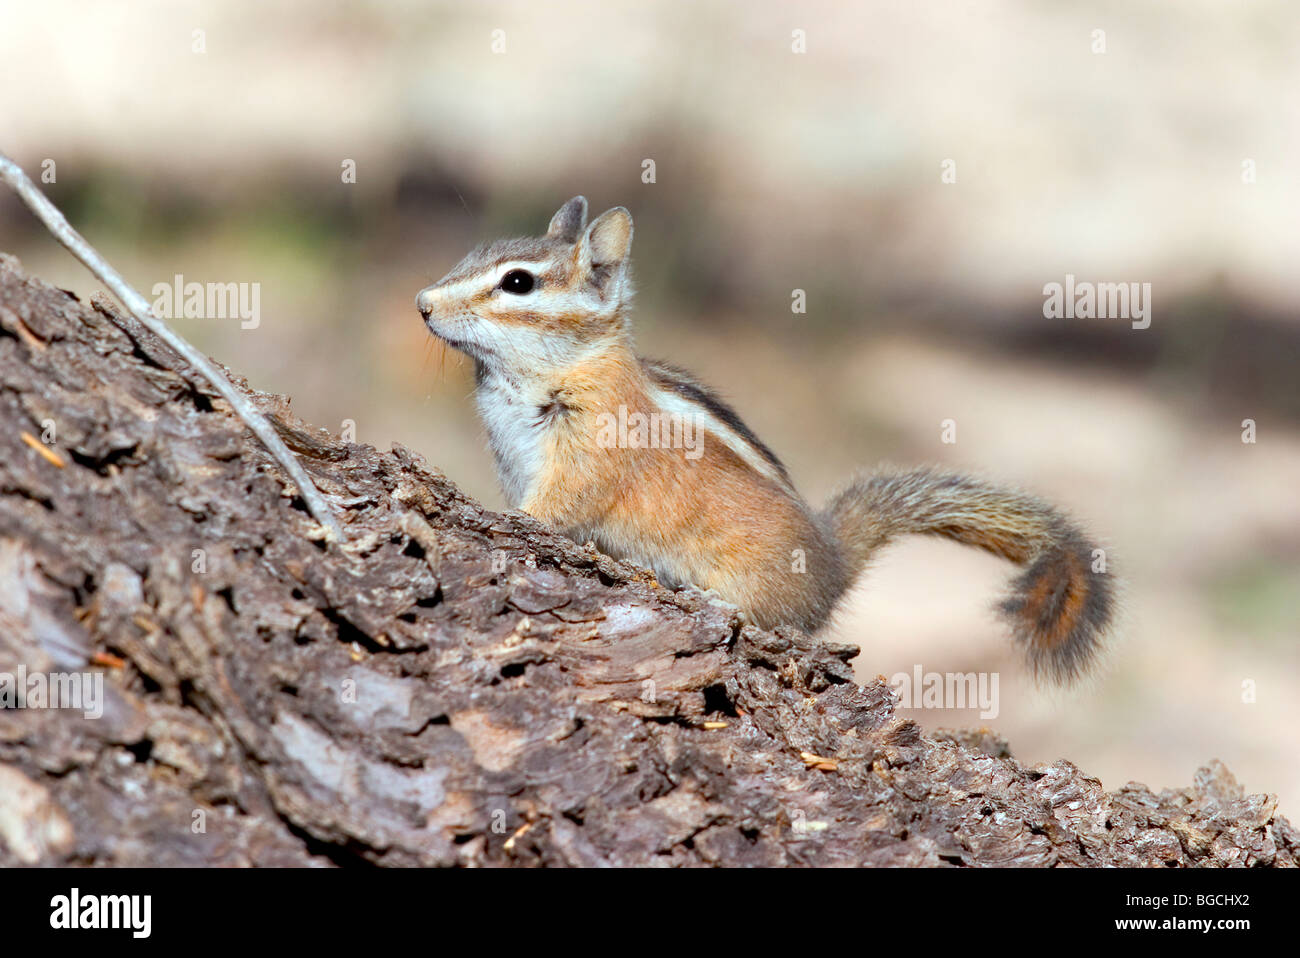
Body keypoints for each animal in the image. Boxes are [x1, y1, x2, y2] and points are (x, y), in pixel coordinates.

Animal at [416, 197, 1115, 684]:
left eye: (518, 283)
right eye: (475, 252)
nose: (421, 302)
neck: (529, 374)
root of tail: (833, 562)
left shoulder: (591, 447)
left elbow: (562, 504)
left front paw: (512, 522)